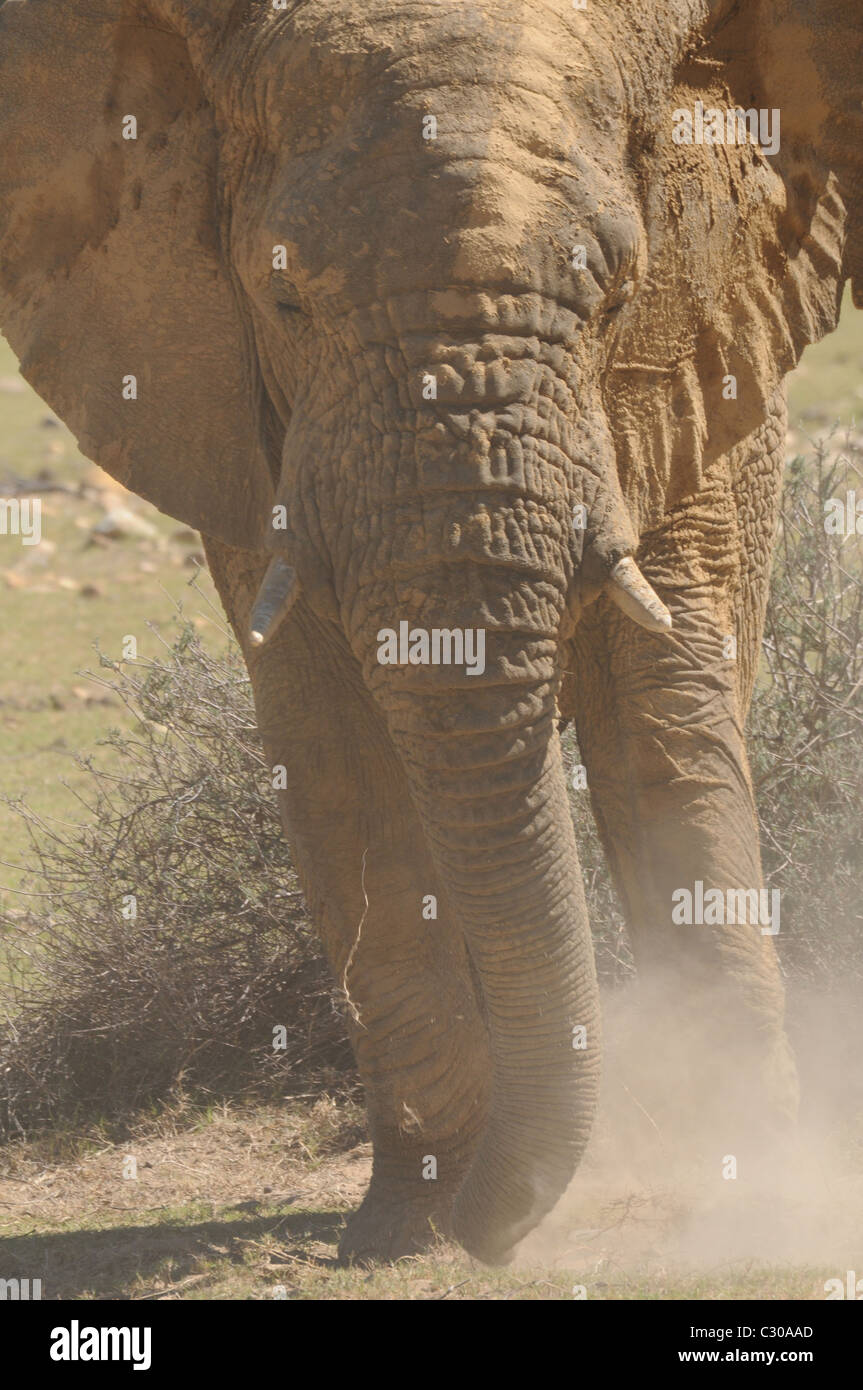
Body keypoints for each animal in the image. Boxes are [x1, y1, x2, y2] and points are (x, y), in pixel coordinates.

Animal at [0, 0, 858, 1265]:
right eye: (286, 302)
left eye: (615, 295)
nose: (492, 1233)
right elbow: (335, 744)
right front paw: (409, 1220)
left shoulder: (674, 378)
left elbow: (657, 714)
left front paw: (743, 1188)